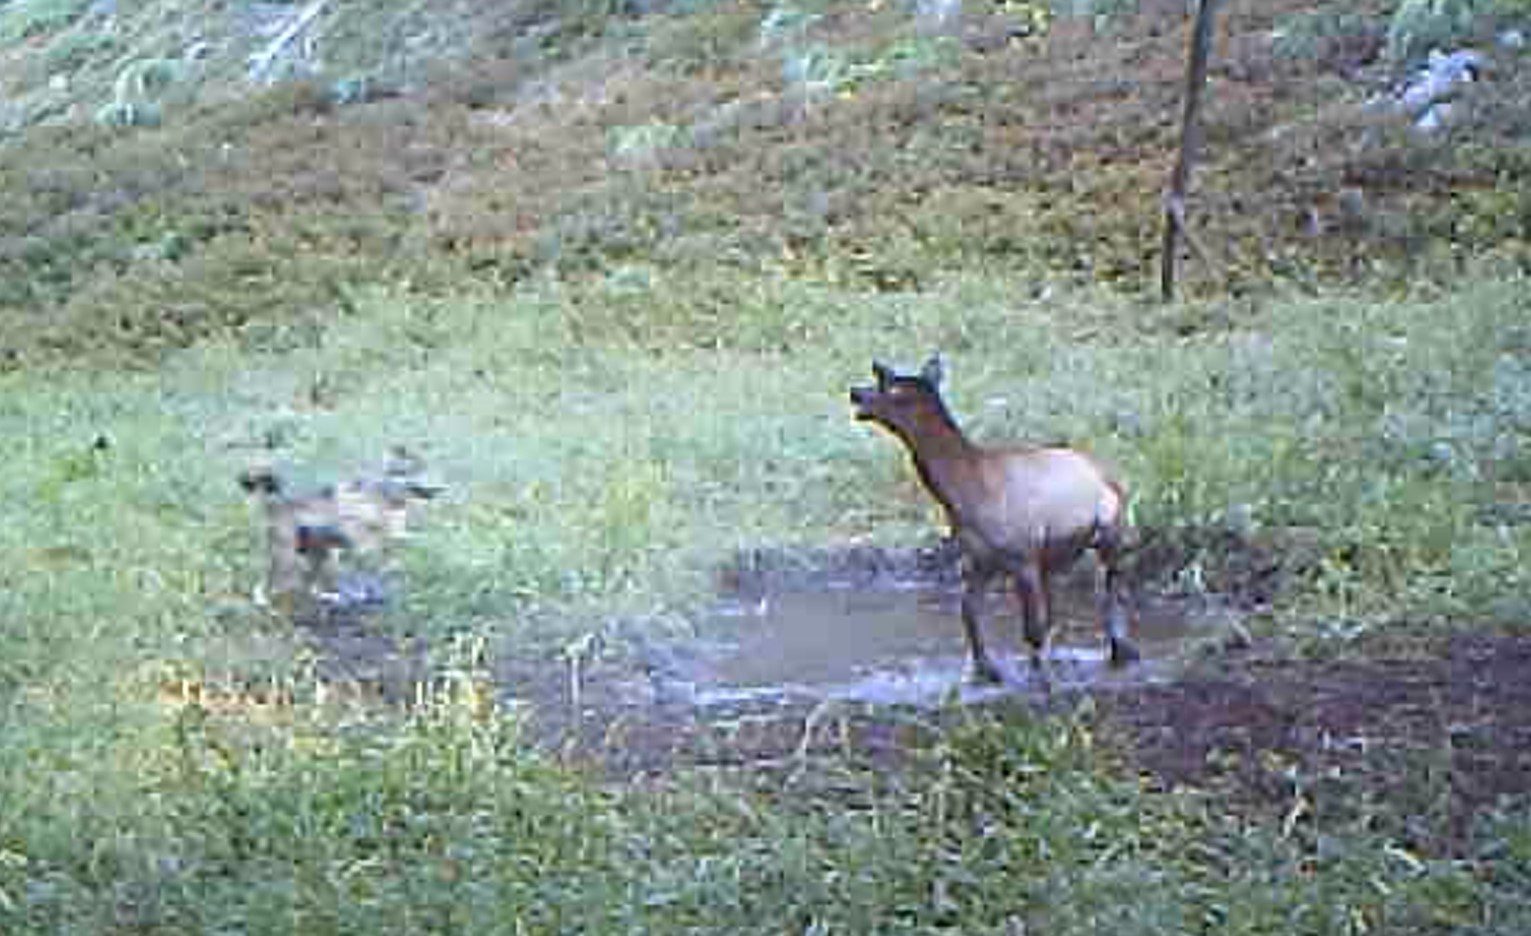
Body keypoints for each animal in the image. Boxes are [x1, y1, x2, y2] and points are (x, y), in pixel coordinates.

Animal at [849, 354, 1139, 683]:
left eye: (888, 385)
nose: (854, 392)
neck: (960, 494)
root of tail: (1112, 478)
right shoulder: (980, 560)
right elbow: (969, 613)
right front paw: (985, 670)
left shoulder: (1022, 557)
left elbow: (1031, 630)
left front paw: (1038, 675)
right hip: (1052, 555)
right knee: (1062, 610)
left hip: (1111, 535)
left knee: (1114, 594)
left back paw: (1122, 650)